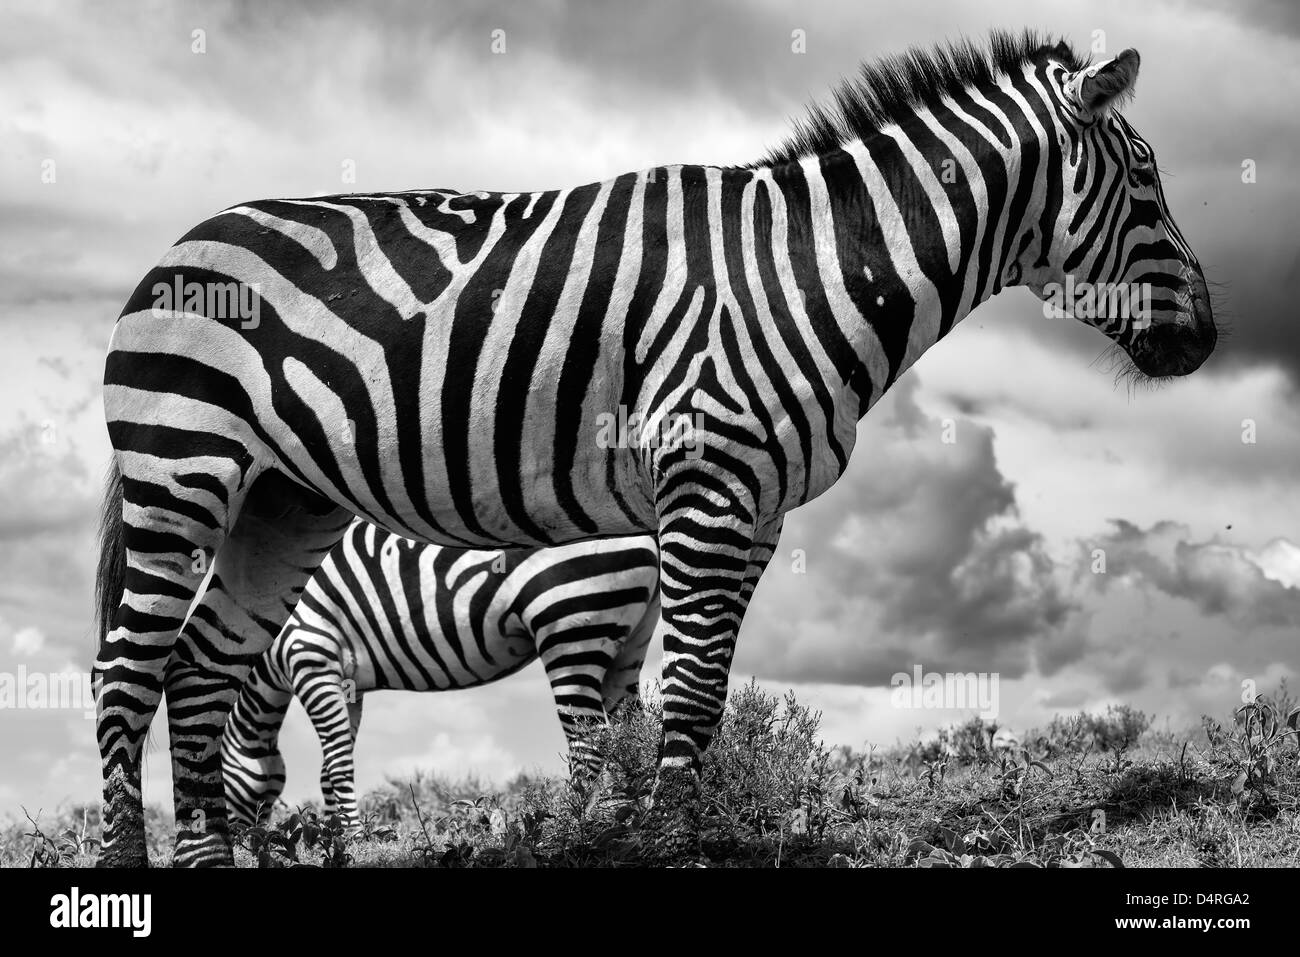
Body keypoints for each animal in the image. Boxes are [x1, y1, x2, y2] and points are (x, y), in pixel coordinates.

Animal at [220, 521, 660, 829]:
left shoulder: (310, 655)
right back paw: (638, 820)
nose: (243, 846)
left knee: (589, 744)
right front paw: (337, 838)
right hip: (627, 642)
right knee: (632, 735)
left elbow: (339, 763)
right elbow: (330, 766)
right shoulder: (347, 683)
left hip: (570, 622)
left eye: (217, 785)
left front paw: (353, 838)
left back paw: (572, 827)